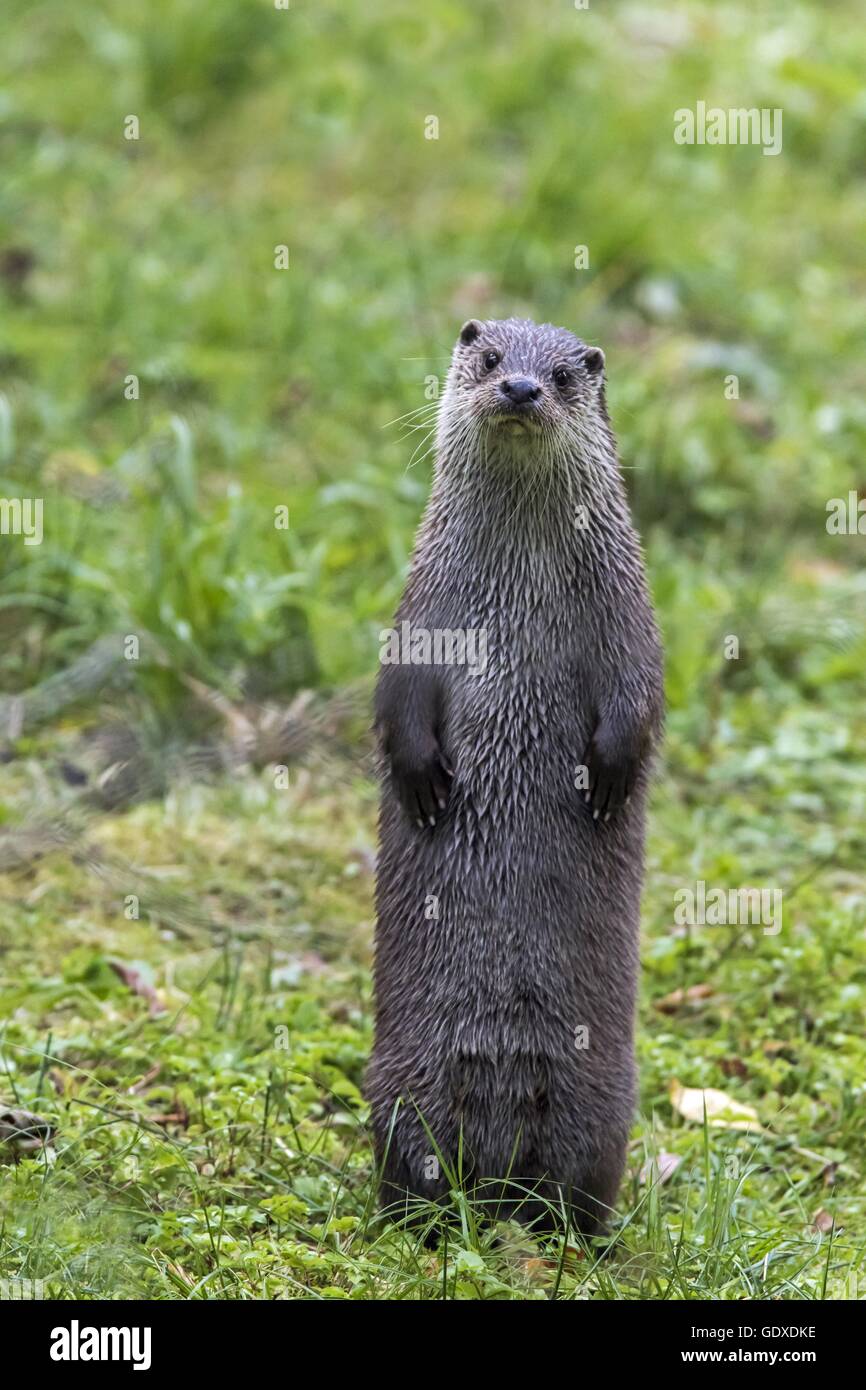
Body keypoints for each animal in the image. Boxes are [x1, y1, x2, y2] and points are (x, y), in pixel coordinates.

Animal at [369, 317, 664, 1238]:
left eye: (565, 375)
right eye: (493, 358)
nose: (523, 389)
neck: (520, 603)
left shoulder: (629, 617)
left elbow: (640, 696)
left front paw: (609, 776)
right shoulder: (419, 612)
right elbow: (395, 699)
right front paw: (422, 779)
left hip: (603, 1108)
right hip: (396, 1087)